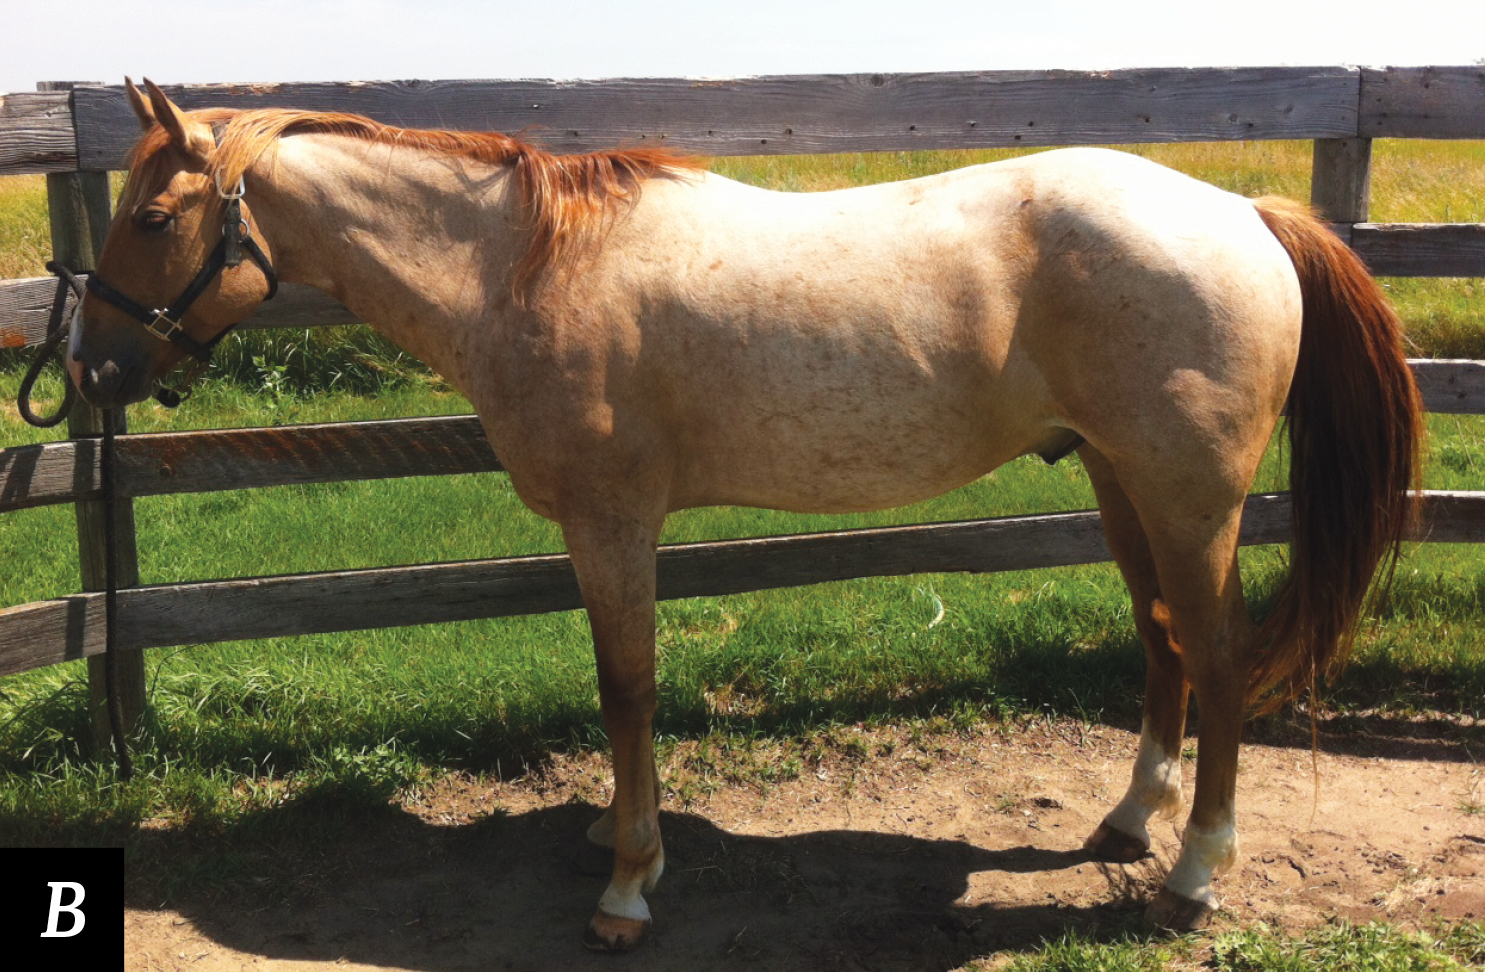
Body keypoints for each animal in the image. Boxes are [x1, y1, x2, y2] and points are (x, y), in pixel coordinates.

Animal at [70, 79, 1422, 951]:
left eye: (152, 218)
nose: (86, 369)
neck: (525, 268)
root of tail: (1244, 214)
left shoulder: (613, 522)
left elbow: (627, 688)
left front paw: (629, 881)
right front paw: (621, 837)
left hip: (1190, 498)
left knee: (1218, 653)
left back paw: (1192, 875)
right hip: (1118, 480)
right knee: (1163, 644)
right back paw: (1130, 821)